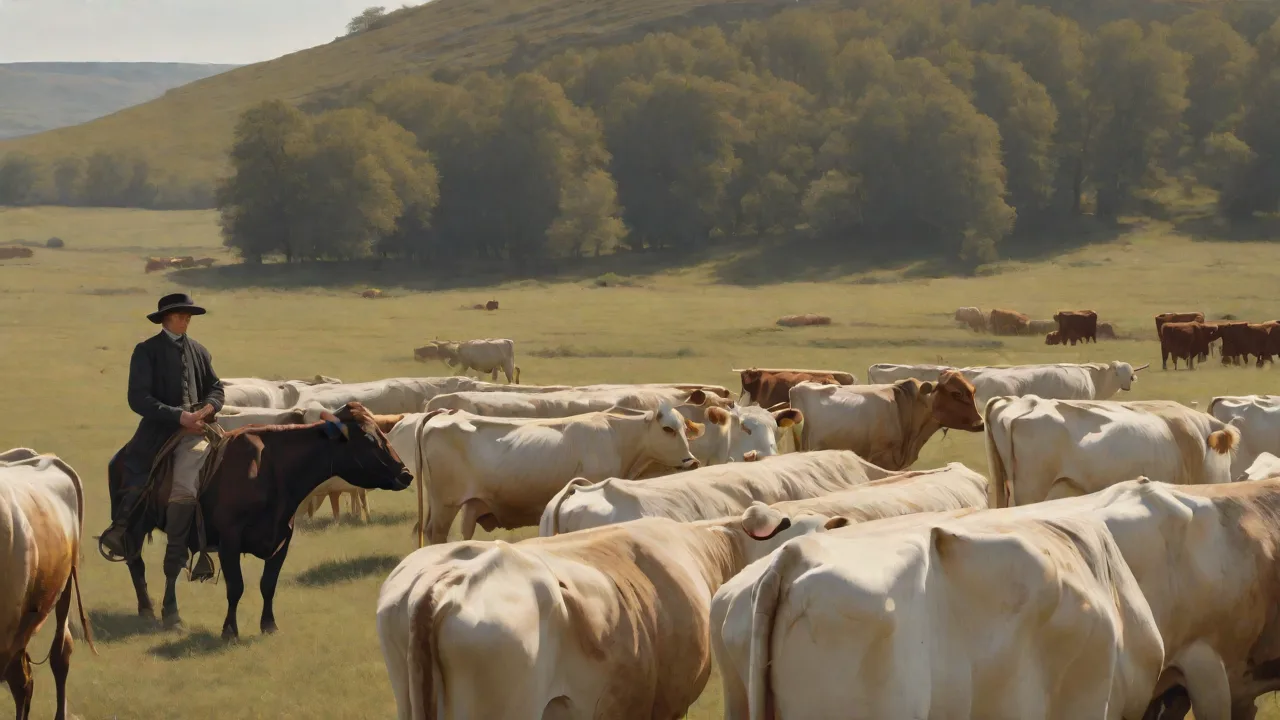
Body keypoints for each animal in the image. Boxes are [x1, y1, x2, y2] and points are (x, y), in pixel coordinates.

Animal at [405, 405, 704, 545]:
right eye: (668, 429)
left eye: (684, 429)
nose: (692, 461)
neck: (616, 435)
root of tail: (444, 414)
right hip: (446, 504)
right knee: (435, 532)